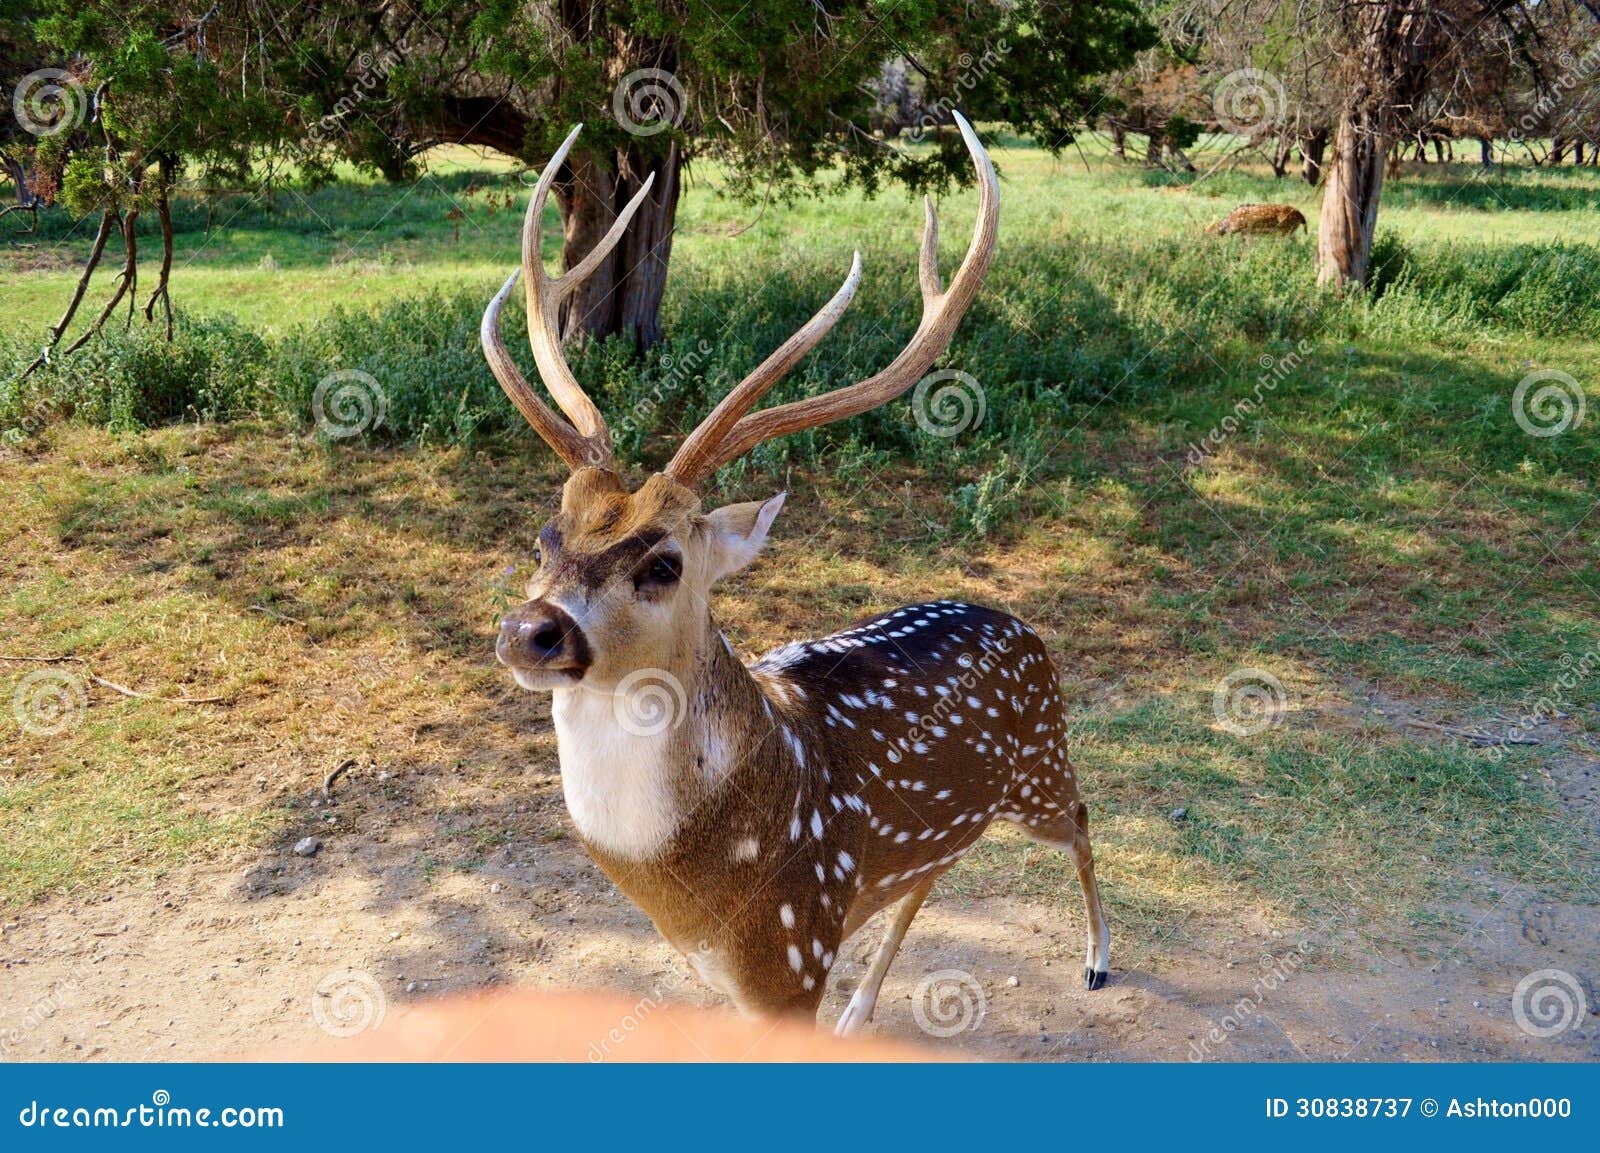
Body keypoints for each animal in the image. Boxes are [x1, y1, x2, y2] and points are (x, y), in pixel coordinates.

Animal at [487, 113, 1110, 1035]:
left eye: (664, 561)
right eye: (544, 538)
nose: (529, 630)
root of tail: (1022, 624)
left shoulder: (795, 945)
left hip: (1040, 763)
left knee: (1080, 815)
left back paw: (1099, 959)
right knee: (934, 864)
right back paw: (863, 1009)